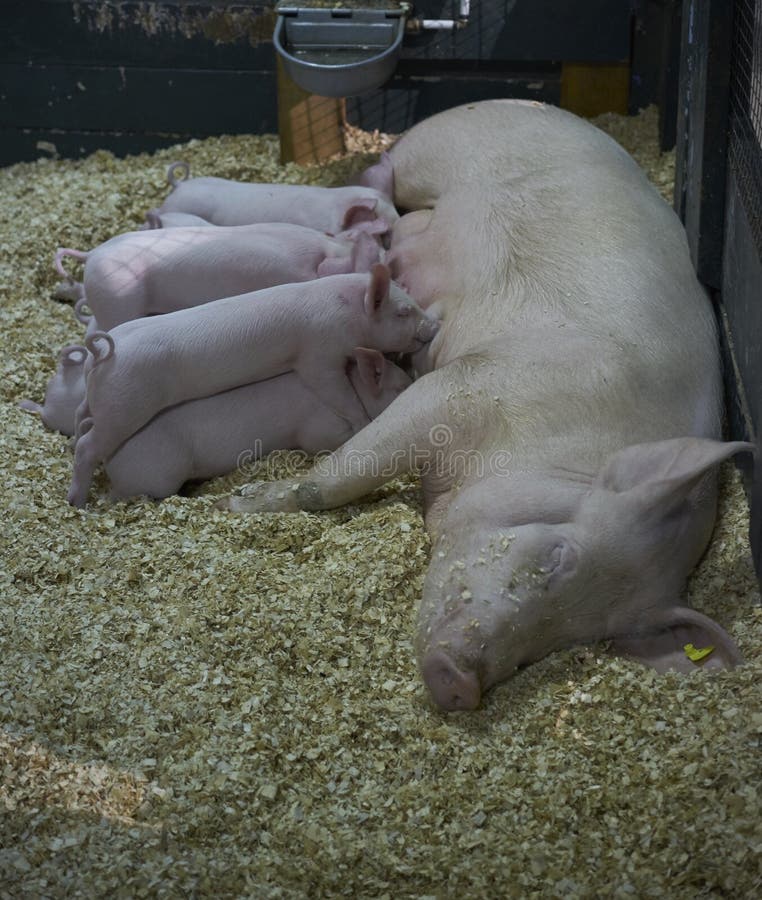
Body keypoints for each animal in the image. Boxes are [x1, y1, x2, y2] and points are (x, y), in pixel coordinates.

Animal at [216, 99, 754, 711]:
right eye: (557, 556)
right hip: (436, 149)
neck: (565, 443)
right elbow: (336, 477)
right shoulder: (468, 386)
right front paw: (236, 504)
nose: (458, 682)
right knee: (391, 177)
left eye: (577, 636)